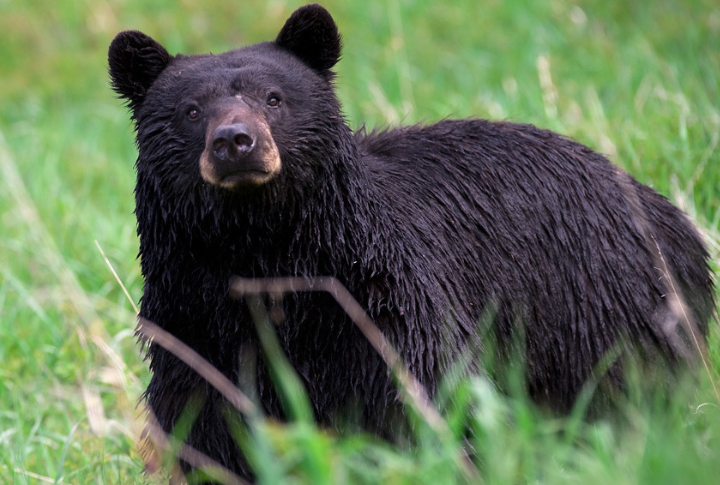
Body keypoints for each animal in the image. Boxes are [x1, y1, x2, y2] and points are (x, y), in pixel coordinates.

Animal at [108, 3, 715, 480]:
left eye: (275, 99)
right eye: (190, 110)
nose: (235, 142)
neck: (264, 253)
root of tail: (672, 218)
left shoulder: (382, 309)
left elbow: (421, 401)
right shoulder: (193, 327)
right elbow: (210, 429)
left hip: (602, 307)